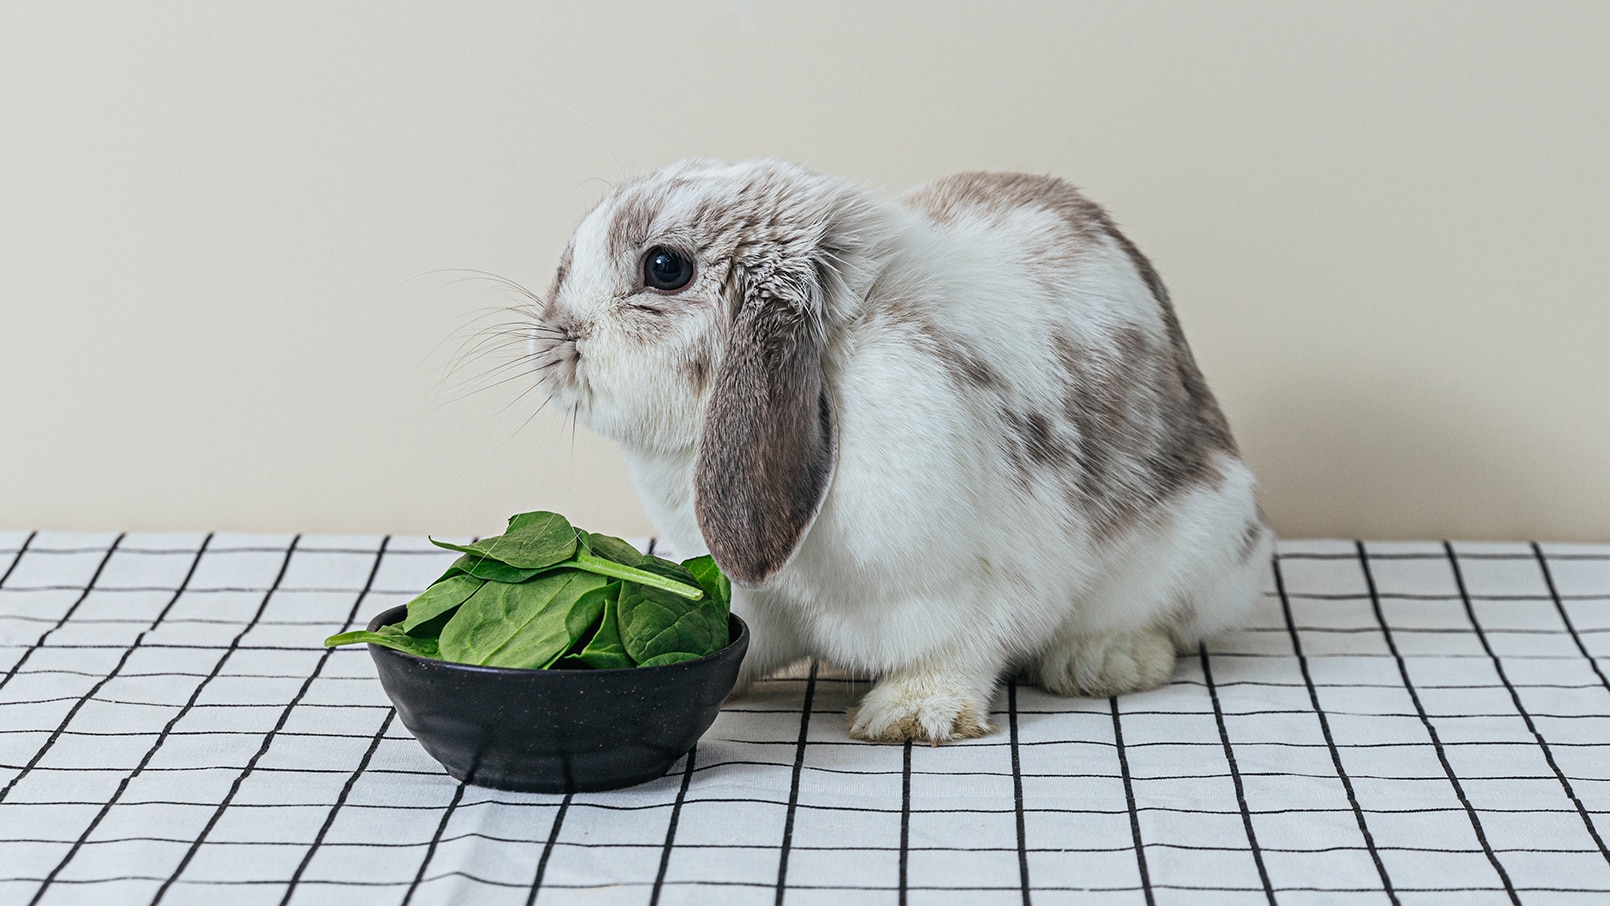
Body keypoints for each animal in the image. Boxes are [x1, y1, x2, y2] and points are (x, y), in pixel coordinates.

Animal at [531, 158, 1270, 743]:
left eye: (664, 268)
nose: (552, 342)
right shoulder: (753, 598)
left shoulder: (981, 582)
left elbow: (957, 650)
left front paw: (911, 716)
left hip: (1202, 541)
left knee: (1169, 619)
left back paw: (1102, 663)